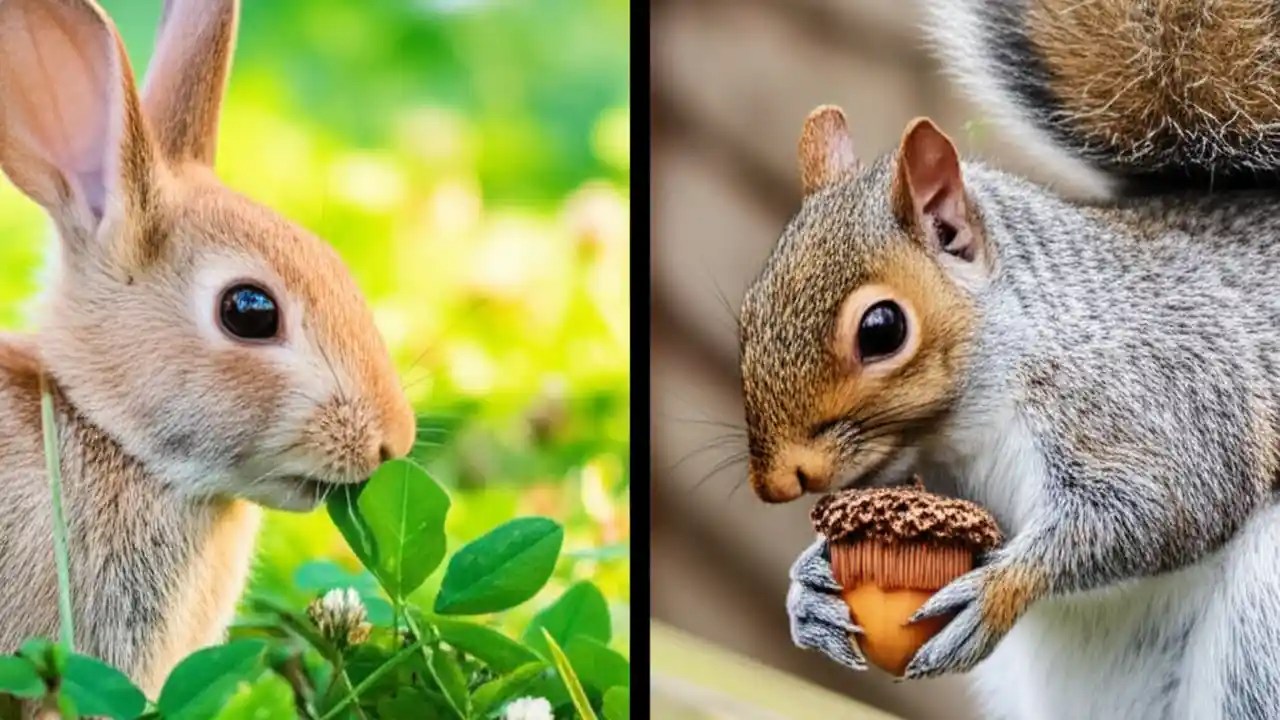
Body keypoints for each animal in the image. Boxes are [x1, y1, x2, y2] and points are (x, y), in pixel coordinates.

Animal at [738, 1, 1280, 718]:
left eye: (881, 329)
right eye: (749, 308)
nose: (775, 483)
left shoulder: (1154, 393)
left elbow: (1164, 503)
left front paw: (998, 590)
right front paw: (807, 589)